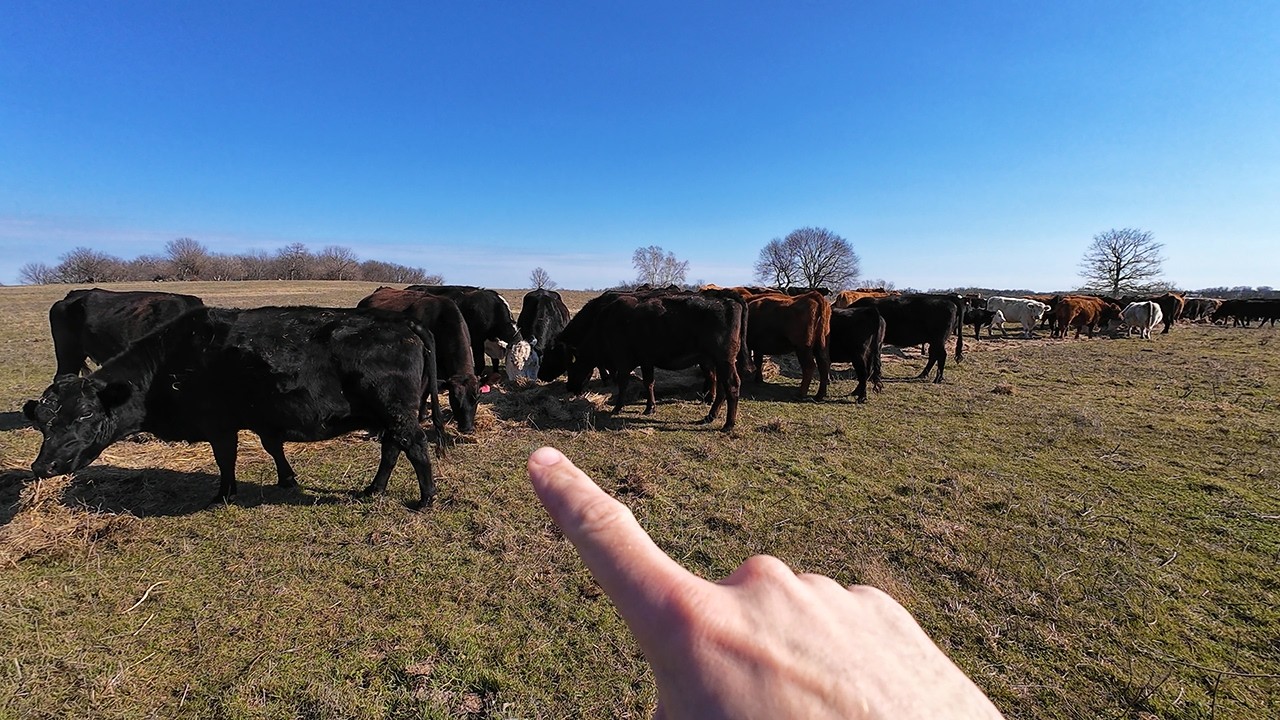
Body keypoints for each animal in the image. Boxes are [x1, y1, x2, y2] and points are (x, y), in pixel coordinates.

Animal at [23, 306, 446, 508]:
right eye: (42, 423)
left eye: (86, 414)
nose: (43, 467)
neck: (171, 362)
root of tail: (403, 323)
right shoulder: (262, 417)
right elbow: (273, 447)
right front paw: (286, 479)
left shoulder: (219, 424)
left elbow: (226, 459)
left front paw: (223, 494)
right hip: (388, 415)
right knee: (391, 449)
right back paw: (372, 490)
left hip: (396, 411)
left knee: (416, 447)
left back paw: (425, 499)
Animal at [405, 285, 534, 381]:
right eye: (512, 359)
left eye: (527, 361)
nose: (520, 381)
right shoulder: (477, 341)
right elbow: (480, 363)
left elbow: (495, 362)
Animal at [538, 291, 743, 431]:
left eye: (571, 366)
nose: (569, 387)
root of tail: (727, 301)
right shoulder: (646, 361)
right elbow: (649, 383)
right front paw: (650, 407)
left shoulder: (622, 360)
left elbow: (623, 383)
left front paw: (618, 407)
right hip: (716, 361)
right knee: (722, 387)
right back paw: (711, 415)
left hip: (724, 360)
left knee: (731, 386)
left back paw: (728, 424)